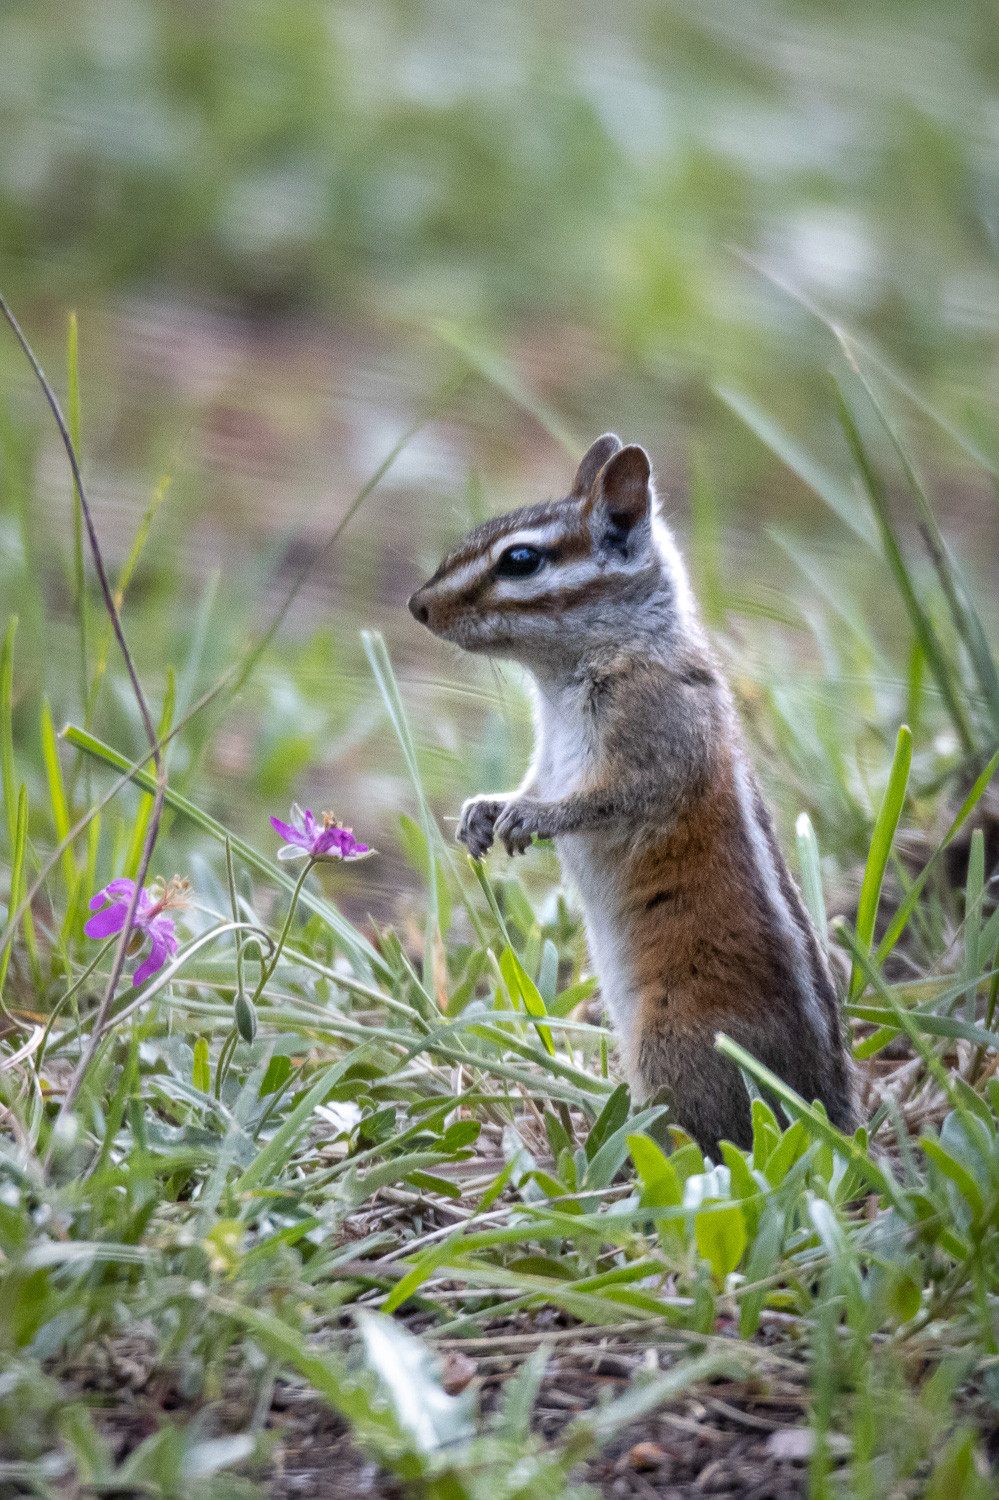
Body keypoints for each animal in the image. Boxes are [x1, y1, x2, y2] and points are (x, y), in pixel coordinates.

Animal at [408, 434, 854, 1151]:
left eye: (520, 560)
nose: (417, 607)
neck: (561, 682)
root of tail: (830, 1114)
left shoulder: (658, 738)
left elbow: (612, 797)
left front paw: (530, 817)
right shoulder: (548, 754)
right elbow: (531, 782)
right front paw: (483, 812)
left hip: (671, 1041)